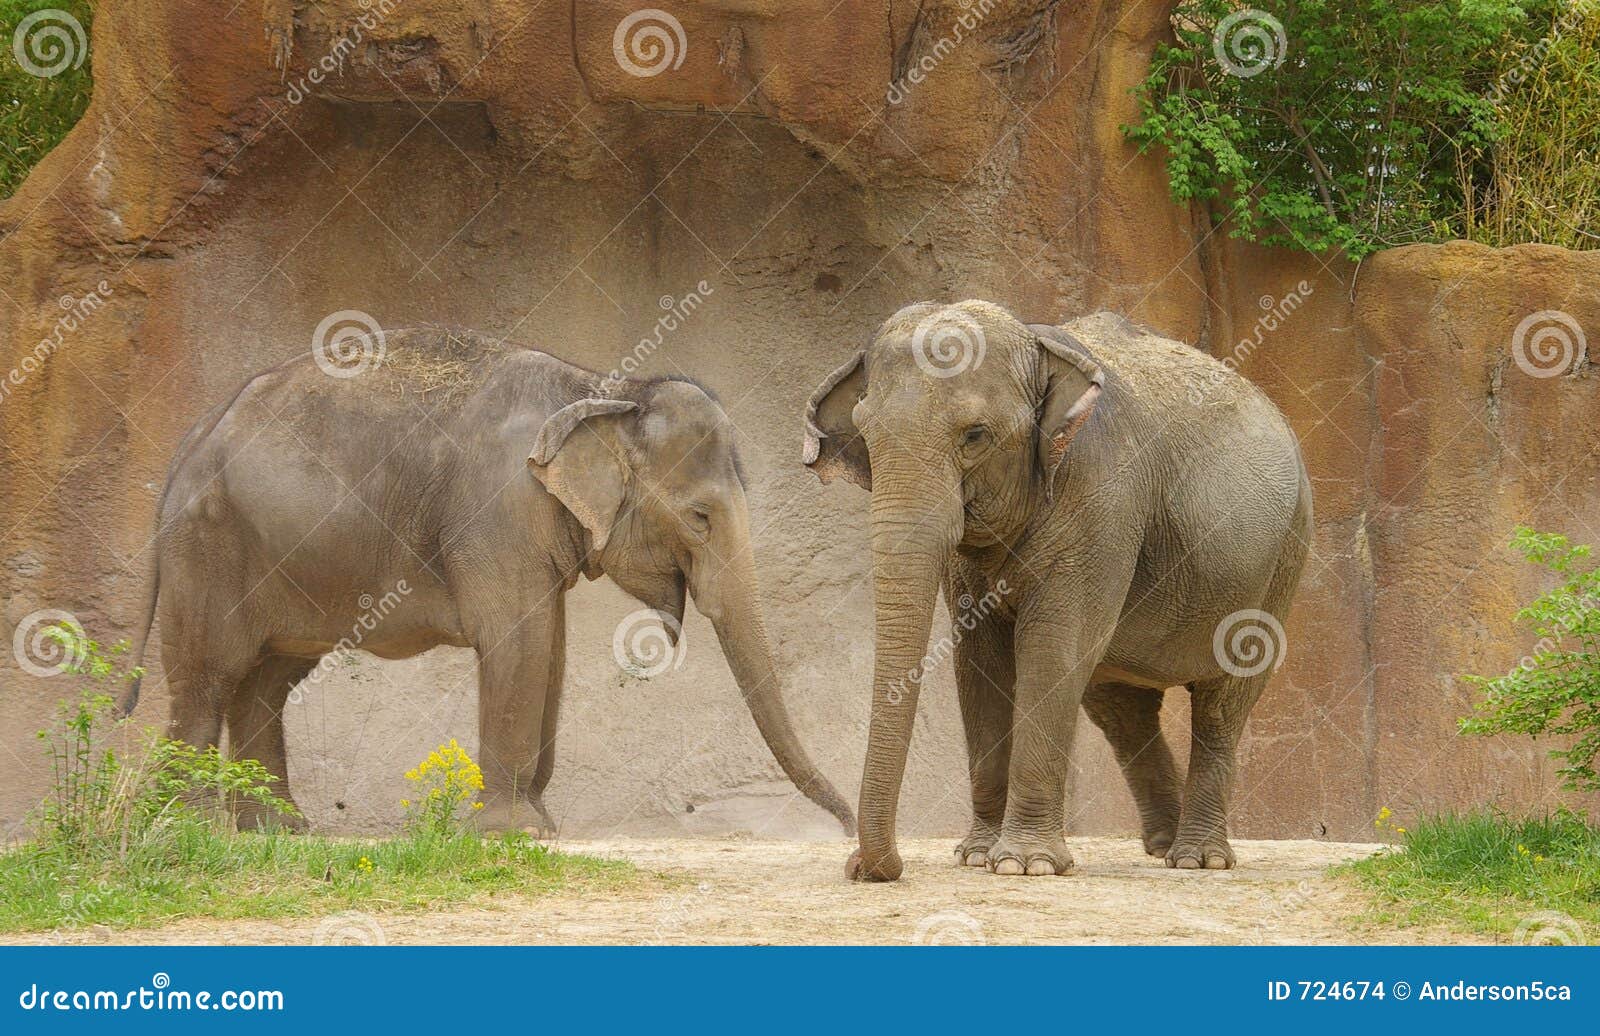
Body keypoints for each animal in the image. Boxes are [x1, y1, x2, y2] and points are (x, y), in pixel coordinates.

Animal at [119, 327, 856, 836]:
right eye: (700, 518)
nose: (847, 832)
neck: (602, 389)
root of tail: (190, 442)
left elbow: (550, 650)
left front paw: (539, 826)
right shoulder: (497, 511)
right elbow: (519, 641)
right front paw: (511, 833)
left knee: (266, 682)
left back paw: (279, 830)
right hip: (208, 549)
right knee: (208, 677)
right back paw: (189, 826)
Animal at [803, 302, 1311, 880]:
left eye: (975, 435)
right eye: (865, 434)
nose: (862, 867)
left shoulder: (1100, 498)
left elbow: (1052, 647)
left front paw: (1023, 865)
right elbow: (980, 662)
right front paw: (975, 856)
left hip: (1281, 560)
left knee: (1222, 703)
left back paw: (1197, 859)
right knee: (1119, 708)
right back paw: (1161, 843)